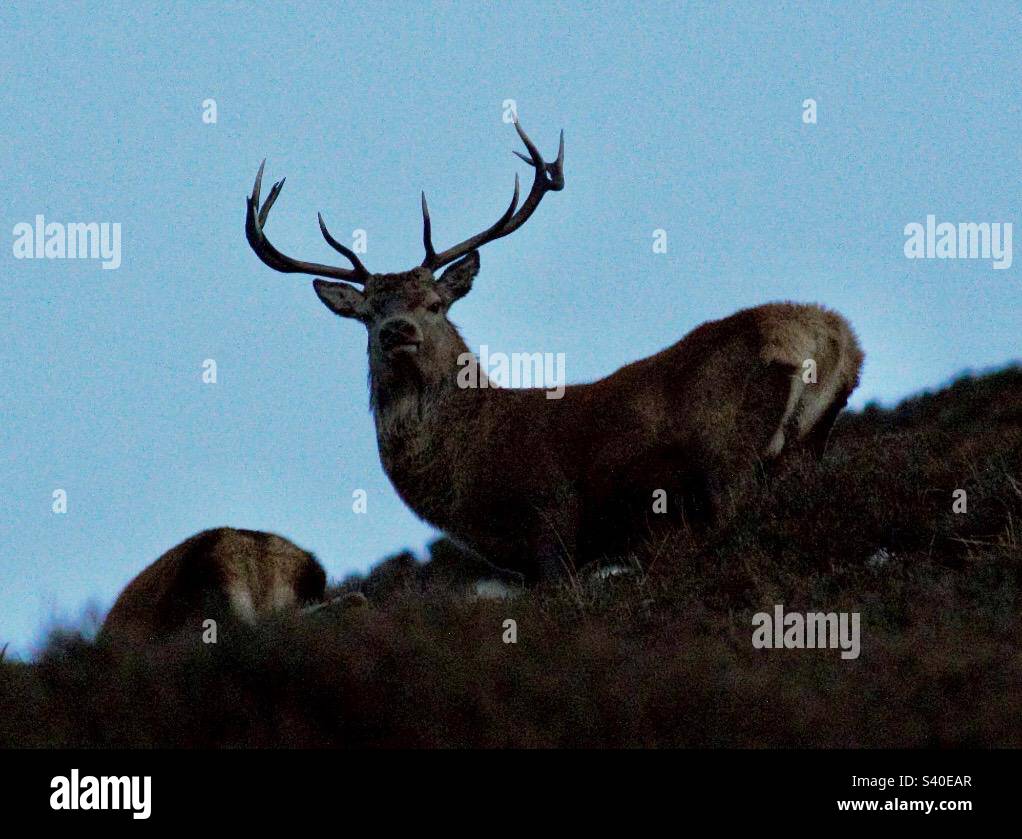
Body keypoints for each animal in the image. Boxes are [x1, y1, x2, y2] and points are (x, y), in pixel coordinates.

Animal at [245, 120, 864, 583]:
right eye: (369, 313)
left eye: (435, 304)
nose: (398, 331)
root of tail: (832, 336)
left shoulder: (550, 525)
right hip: (807, 444)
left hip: (728, 456)